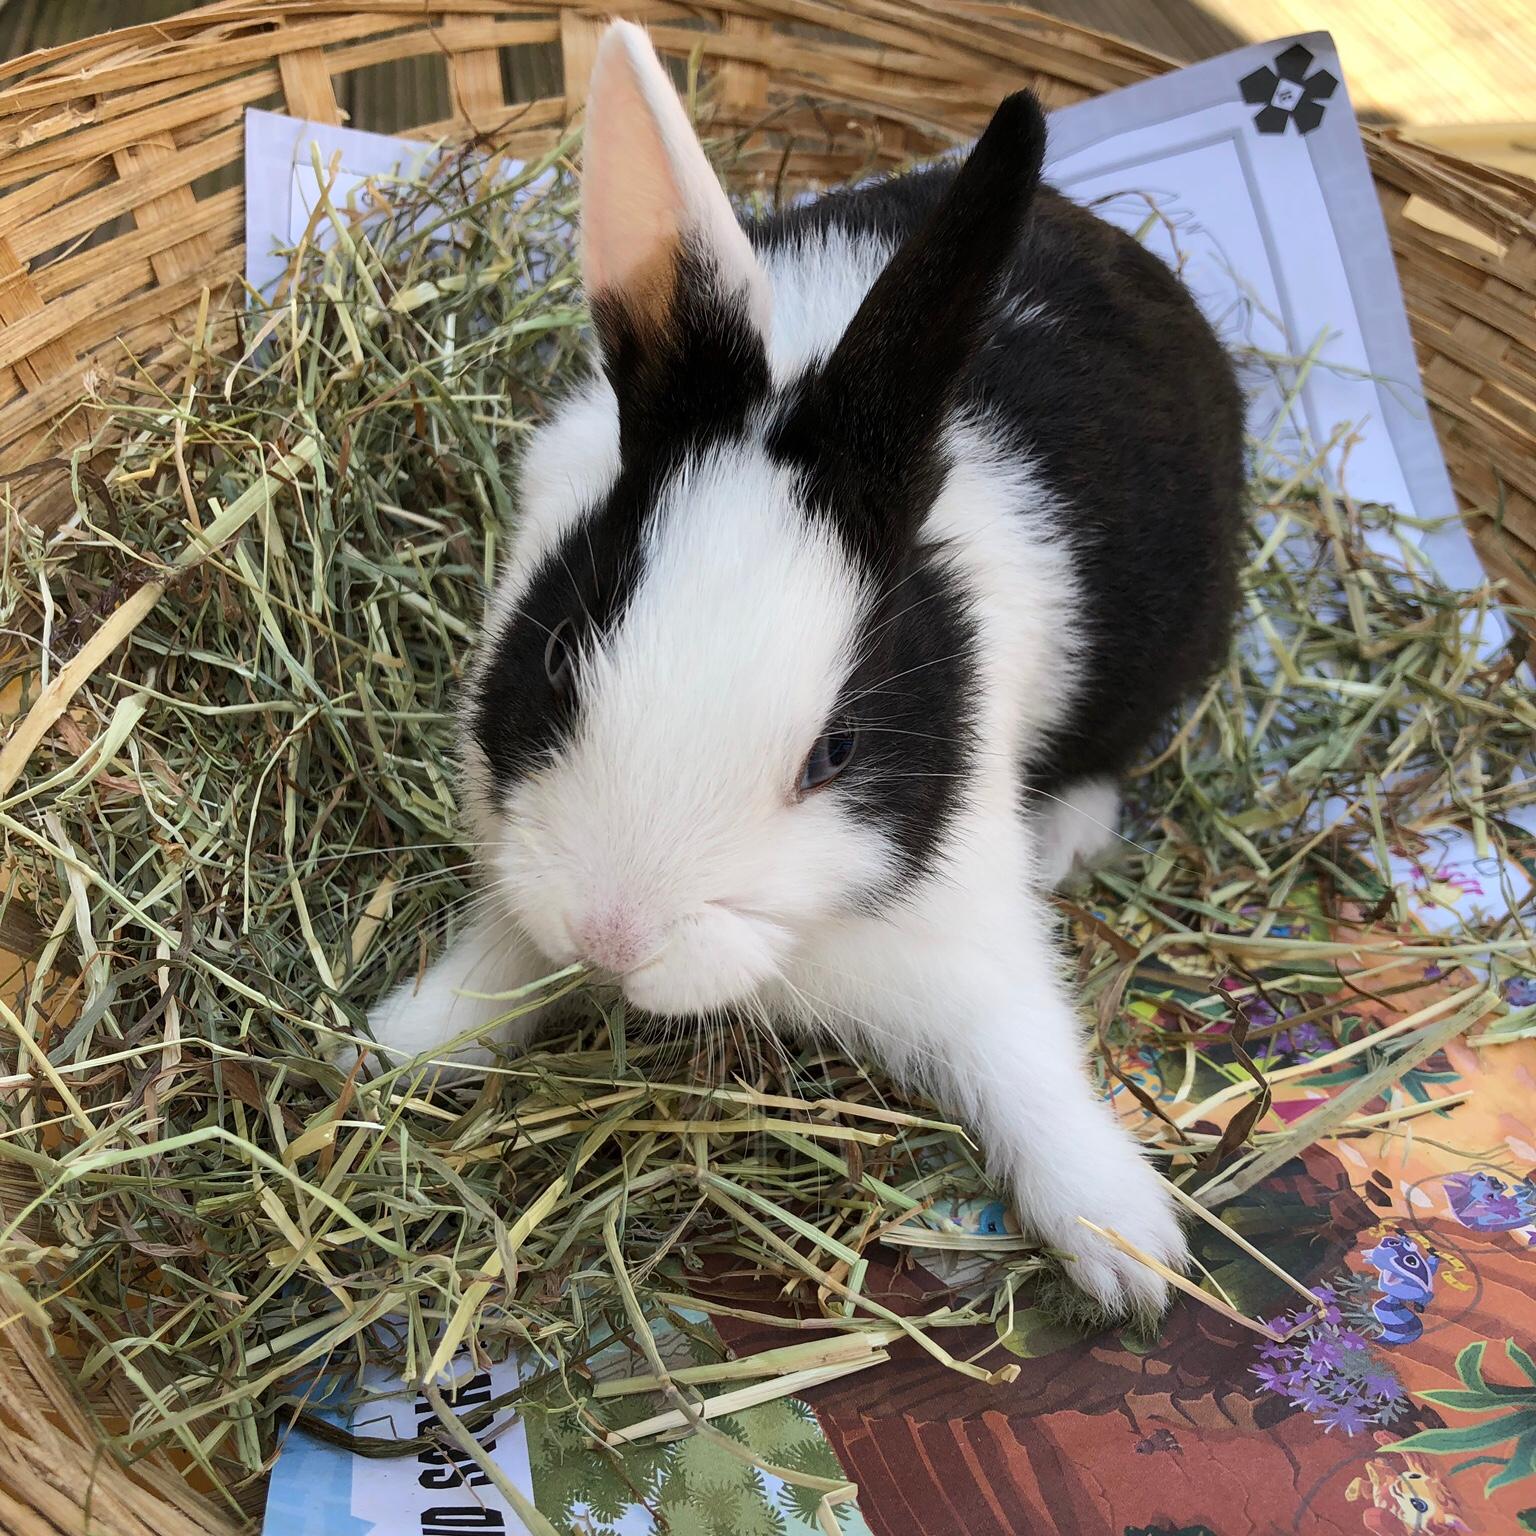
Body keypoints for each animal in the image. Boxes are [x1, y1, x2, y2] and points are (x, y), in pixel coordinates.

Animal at [364, 19, 1245, 1317]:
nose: (615, 938)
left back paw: (1069, 835)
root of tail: (1110, 238)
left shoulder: (969, 944)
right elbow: (497, 960)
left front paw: (1126, 1250)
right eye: (559, 660)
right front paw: (395, 1045)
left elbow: (1029, 1063)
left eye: (836, 751)